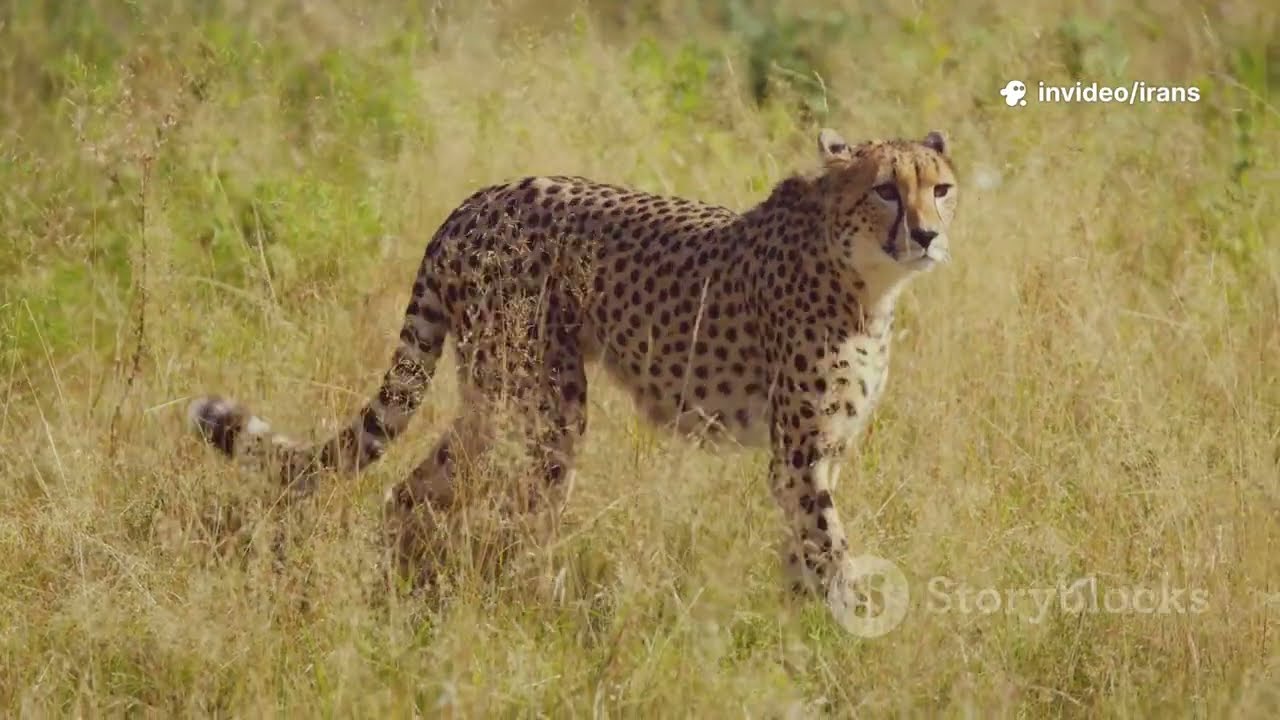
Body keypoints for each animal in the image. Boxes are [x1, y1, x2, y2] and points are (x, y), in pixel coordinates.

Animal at [186, 127, 959, 630]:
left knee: (412, 487)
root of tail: (477, 200)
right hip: (546, 400)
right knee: (516, 514)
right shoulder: (798, 453)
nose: (928, 235)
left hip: (498, 391)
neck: (863, 276)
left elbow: (805, 547)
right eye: (887, 191)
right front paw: (853, 634)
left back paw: (400, 586)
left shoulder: (816, 453)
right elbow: (829, 545)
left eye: (941, 189)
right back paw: (536, 610)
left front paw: (802, 635)